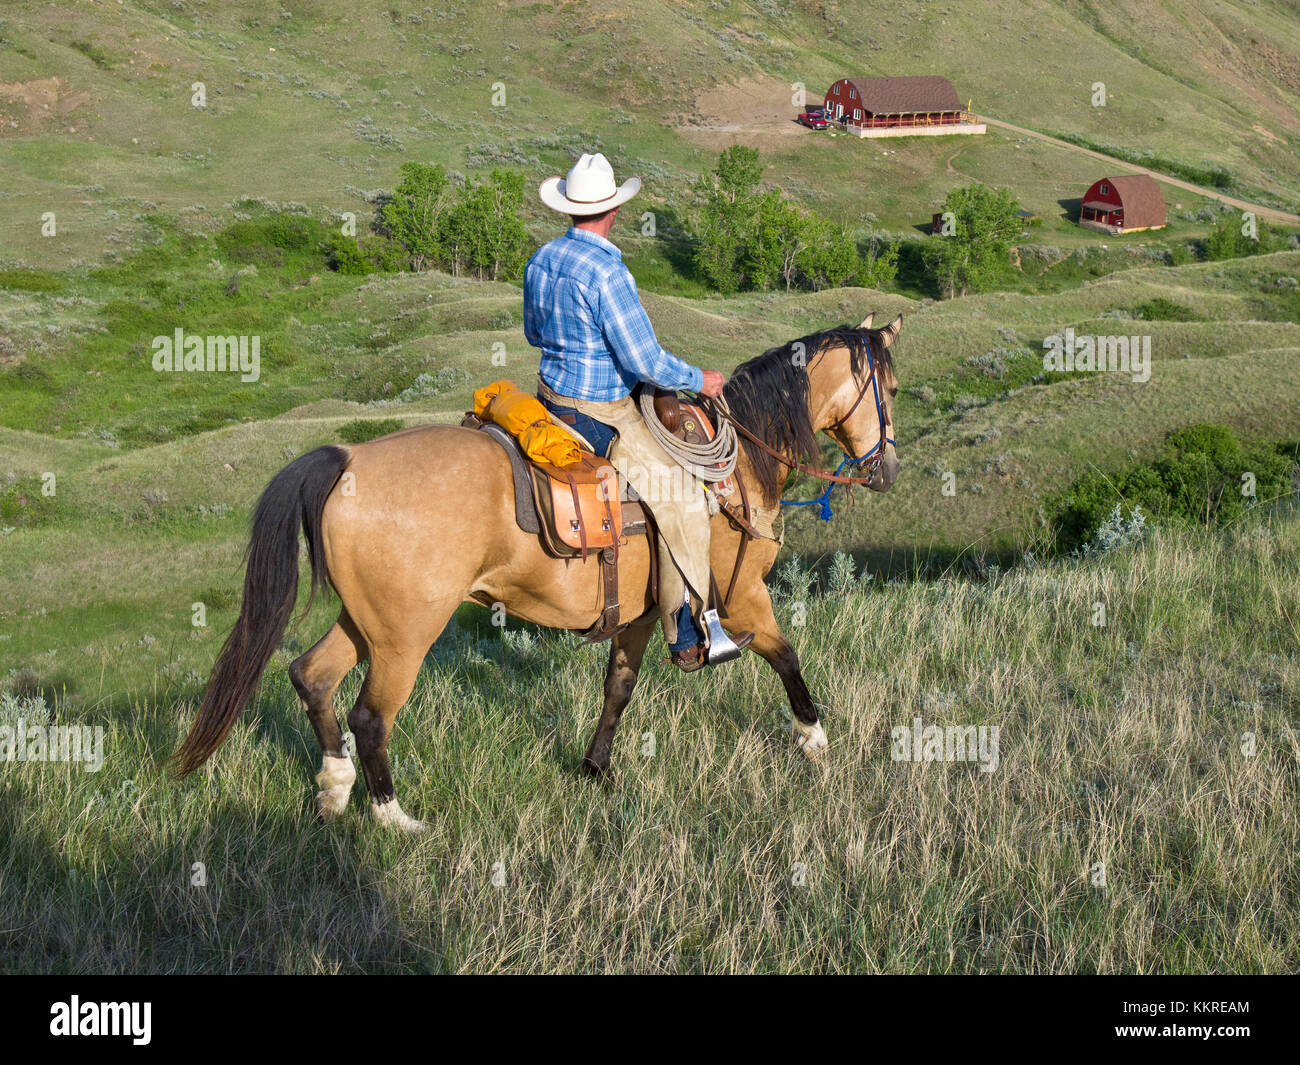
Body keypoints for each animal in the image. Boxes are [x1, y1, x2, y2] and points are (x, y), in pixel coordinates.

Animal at [172, 312, 902, 832]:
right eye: (891, 389)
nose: (886, 469)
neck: (740, 463)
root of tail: (347, 460)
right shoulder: (742, 594)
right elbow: (787, 657)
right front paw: (815, 739)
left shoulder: (647, 613)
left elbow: (618, 688)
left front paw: (596, 768)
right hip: (407, 634)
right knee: (370, 715)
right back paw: (394, 818)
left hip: (367, 621)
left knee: (311, 677)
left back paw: (334, 791)